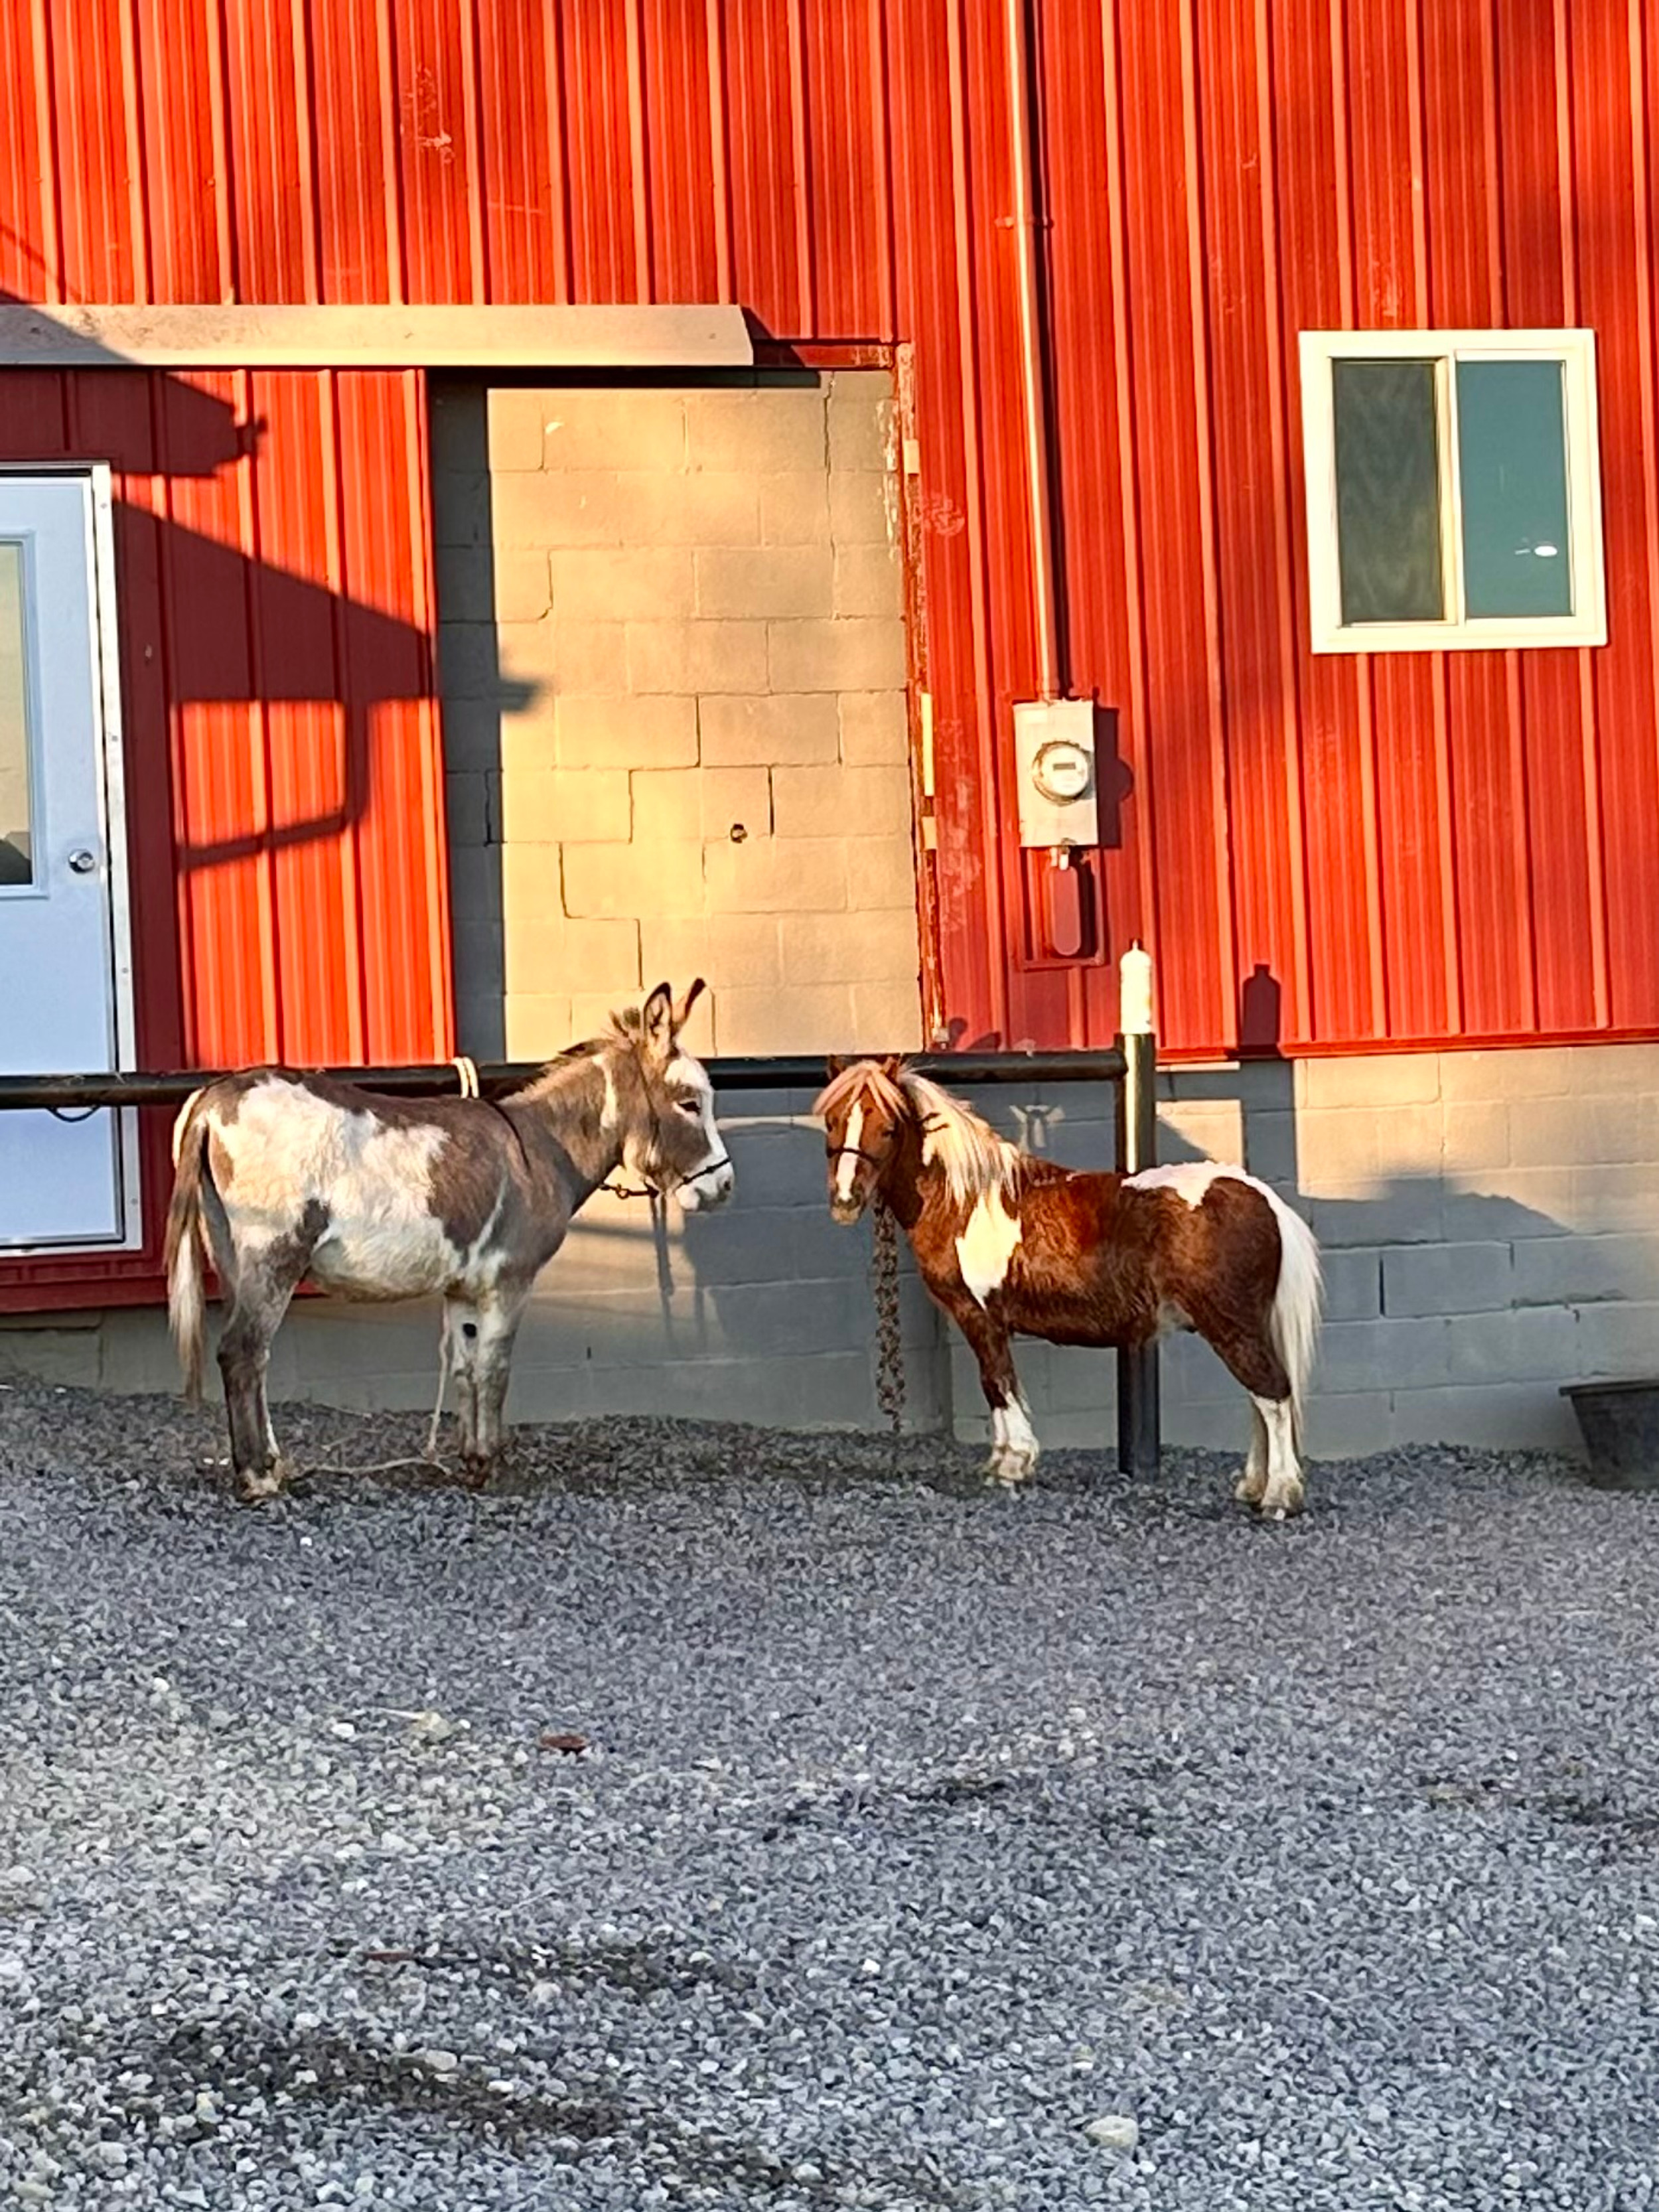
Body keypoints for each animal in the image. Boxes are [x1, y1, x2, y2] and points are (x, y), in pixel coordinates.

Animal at [164, 981, 733, 1501]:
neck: (545, 1146)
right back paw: (257, 1477)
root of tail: (212, 1098)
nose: (724, 1186)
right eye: (689, 1104)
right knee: (242, 1350)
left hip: (231, 1255)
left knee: (253, 1355)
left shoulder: (464, 1287)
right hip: (273, 1251)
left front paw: (470, 1461)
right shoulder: (510, 1281)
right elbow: (495, 1369)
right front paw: (492, 1467)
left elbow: (465, 1367)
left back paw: (271, 1463)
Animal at [814, 1056, 1323, 1517]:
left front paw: (1012, 1464)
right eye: (833, 1120)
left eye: (888, 1127)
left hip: (1230, 1326)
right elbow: (1000, 1384)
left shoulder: (978, 1316)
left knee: (1273, 1395)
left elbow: (996, 1382)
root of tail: (1263, 1197)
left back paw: (1280, 1496)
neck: (965, 1199)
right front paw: (1002, 1461)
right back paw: (1254, 1487)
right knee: (1260, 1399)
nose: (845, 1200)